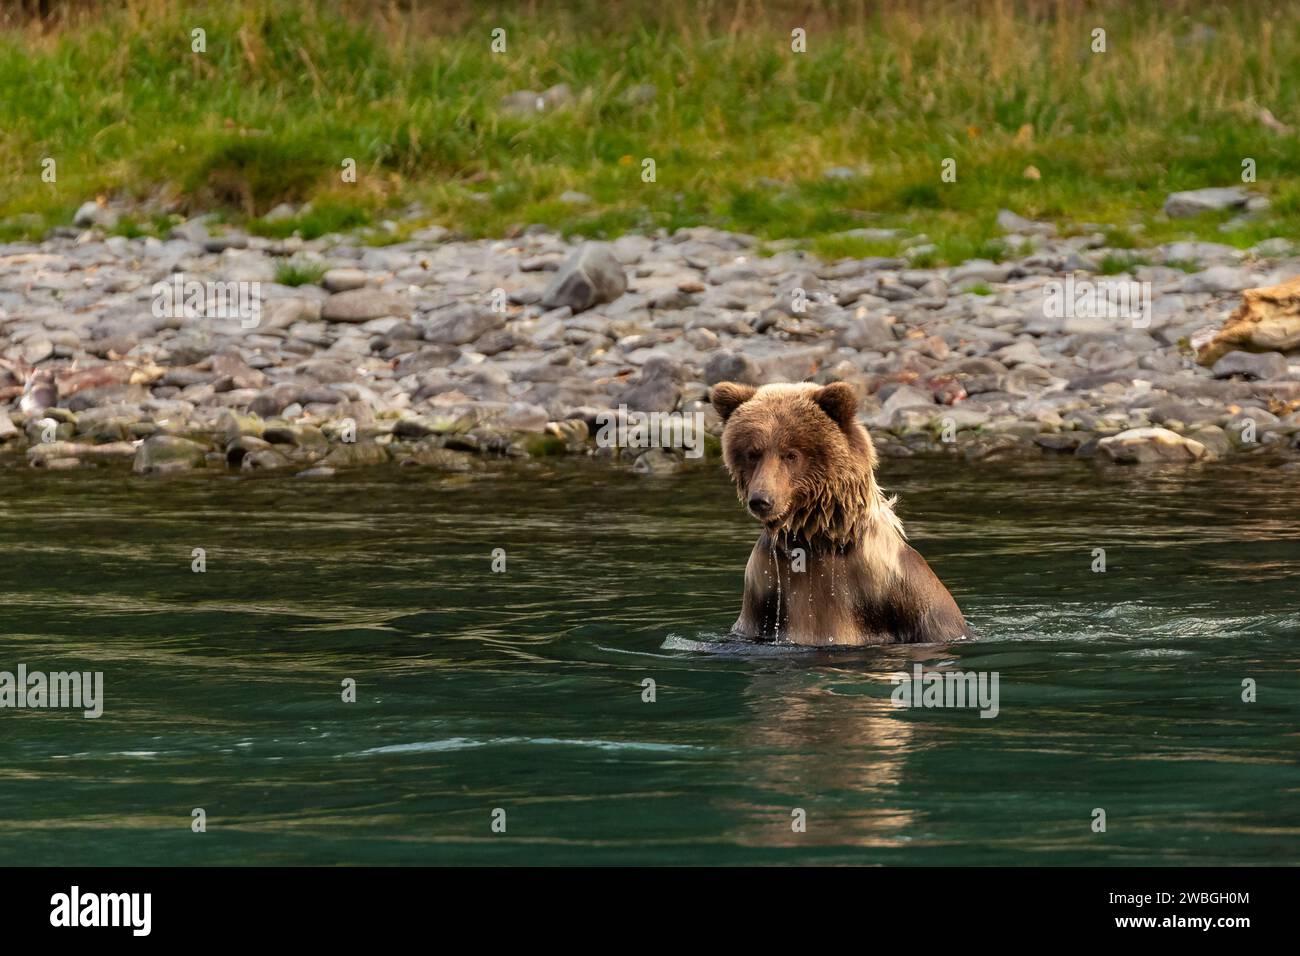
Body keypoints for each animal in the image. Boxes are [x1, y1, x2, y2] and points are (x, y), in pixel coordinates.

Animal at [710, 380, 968, 646]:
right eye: (752, 453)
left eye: (791, 454)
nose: (761, 500)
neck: (818, 540)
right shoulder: (762, 583)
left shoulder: (890, 580)